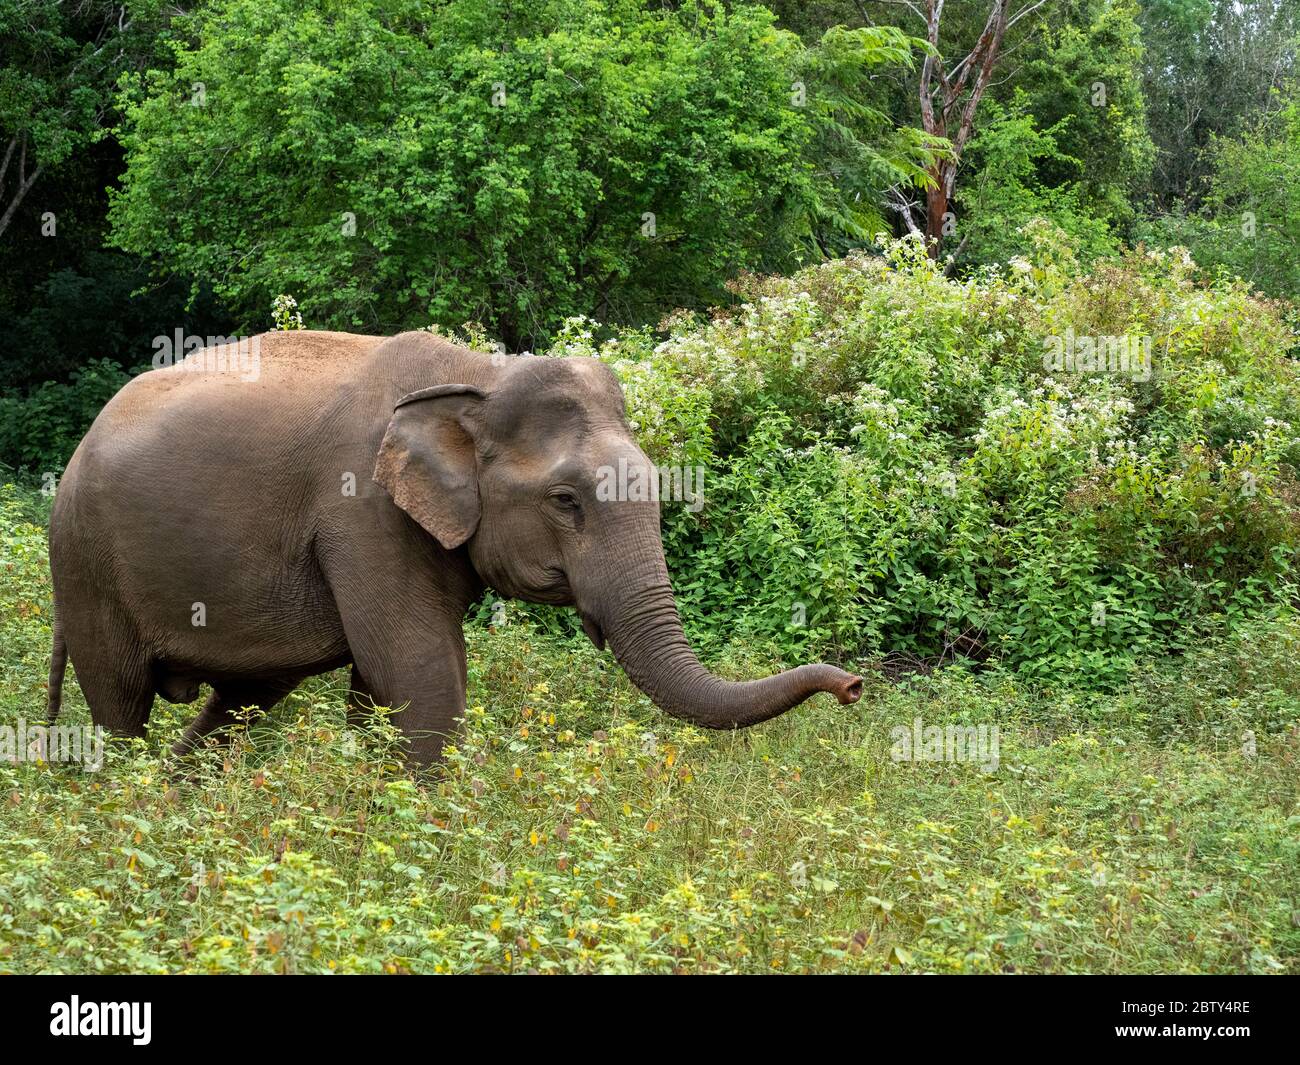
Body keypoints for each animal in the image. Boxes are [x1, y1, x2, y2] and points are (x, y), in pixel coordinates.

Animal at [47, 330, 862, 767]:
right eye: (566, 501)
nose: (853, 686)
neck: (478, 377)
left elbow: (388, 680)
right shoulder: (362, 513)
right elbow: (421, 671)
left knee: (240, 703)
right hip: (84, 565)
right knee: (120, 703)